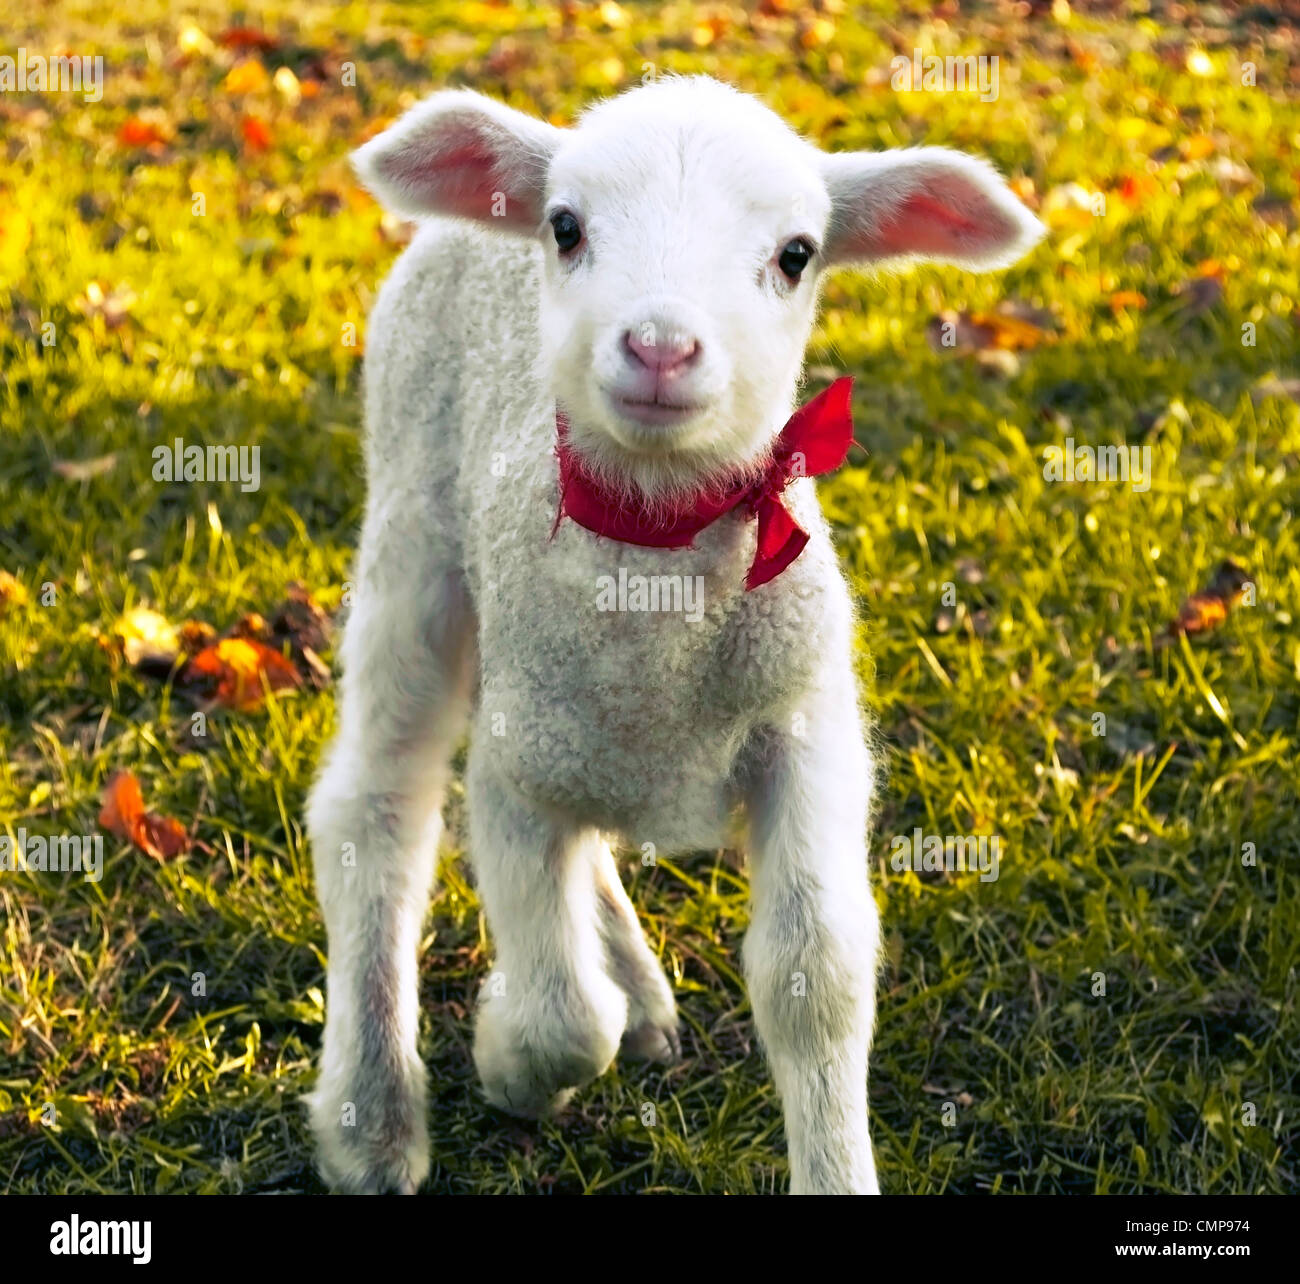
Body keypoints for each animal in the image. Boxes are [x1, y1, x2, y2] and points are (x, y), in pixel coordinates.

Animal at [305, 74, 1043, 1195]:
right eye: (566, 227)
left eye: (797, 254)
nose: (660, 348)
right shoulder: (515, 772)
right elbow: (564, 1018)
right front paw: (509, 1059)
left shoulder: (804, 734)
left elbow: (815, 976)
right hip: (411, 531)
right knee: (377, 805)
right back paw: (372, 1116)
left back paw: (637, 985)